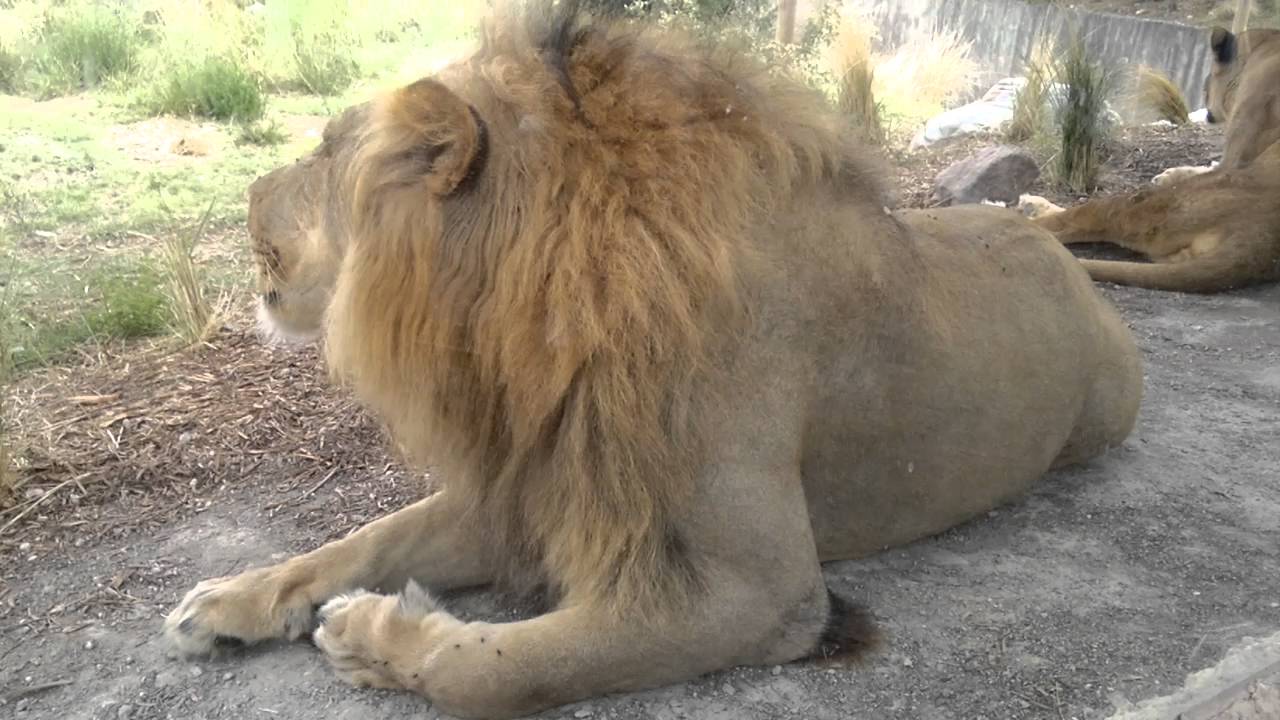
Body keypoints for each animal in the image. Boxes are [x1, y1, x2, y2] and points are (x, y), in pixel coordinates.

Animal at [162, 3, 1143, 718]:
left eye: (327, 148)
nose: (247, 188)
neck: (524, 324)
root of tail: (1059, 251)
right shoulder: (535, 485)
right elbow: (364, 539)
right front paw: (230, 601)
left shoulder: (757, 591)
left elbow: (493, 669)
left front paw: (370, 634)